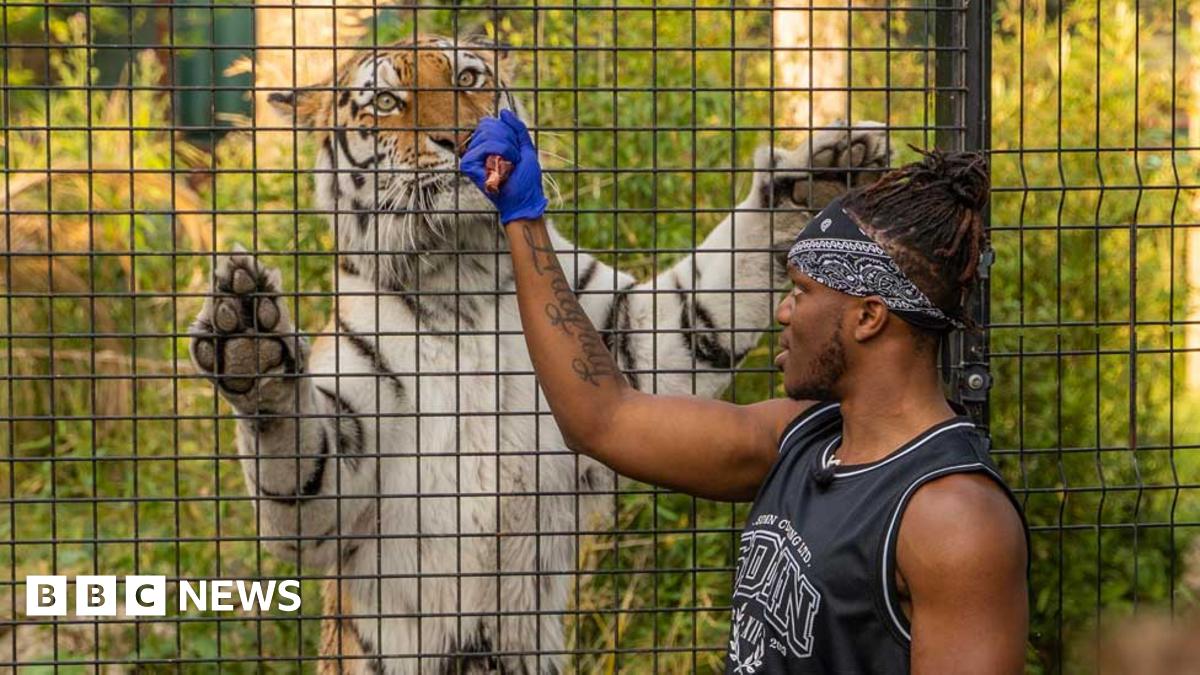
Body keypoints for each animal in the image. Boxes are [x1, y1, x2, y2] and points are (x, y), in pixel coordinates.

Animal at [187, 33, 891, 675]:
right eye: (386, 102)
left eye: (469, 78)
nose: (460, 139)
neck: (460, 272)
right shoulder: (346, 474)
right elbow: (296, 451)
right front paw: (250, 343)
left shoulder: (626, 341)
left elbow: (712, 286)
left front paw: (820, 181)